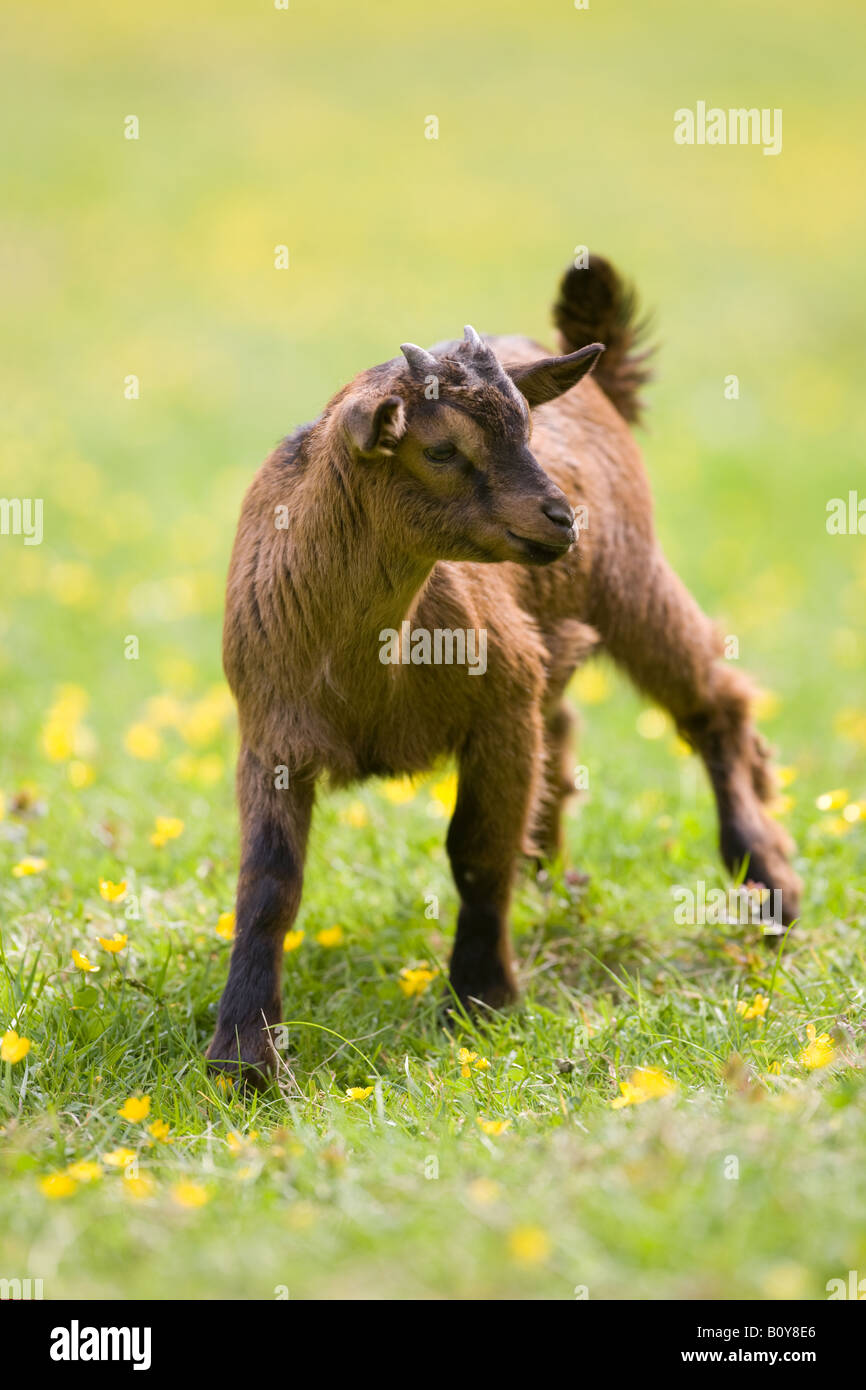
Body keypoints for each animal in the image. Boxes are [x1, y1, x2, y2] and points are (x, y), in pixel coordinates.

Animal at [207, 254, 801, 1083]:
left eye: (526, 426)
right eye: (441, 449)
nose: (561, 519)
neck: (371, 663)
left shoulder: (499, 710)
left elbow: (478, 853)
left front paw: (482, 999)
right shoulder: (271, 737)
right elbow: (268, 885)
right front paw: (243, 1055)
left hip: (633, 580)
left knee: (714, 703)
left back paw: (768, 881)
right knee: (570, 734)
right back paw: (557, 882)